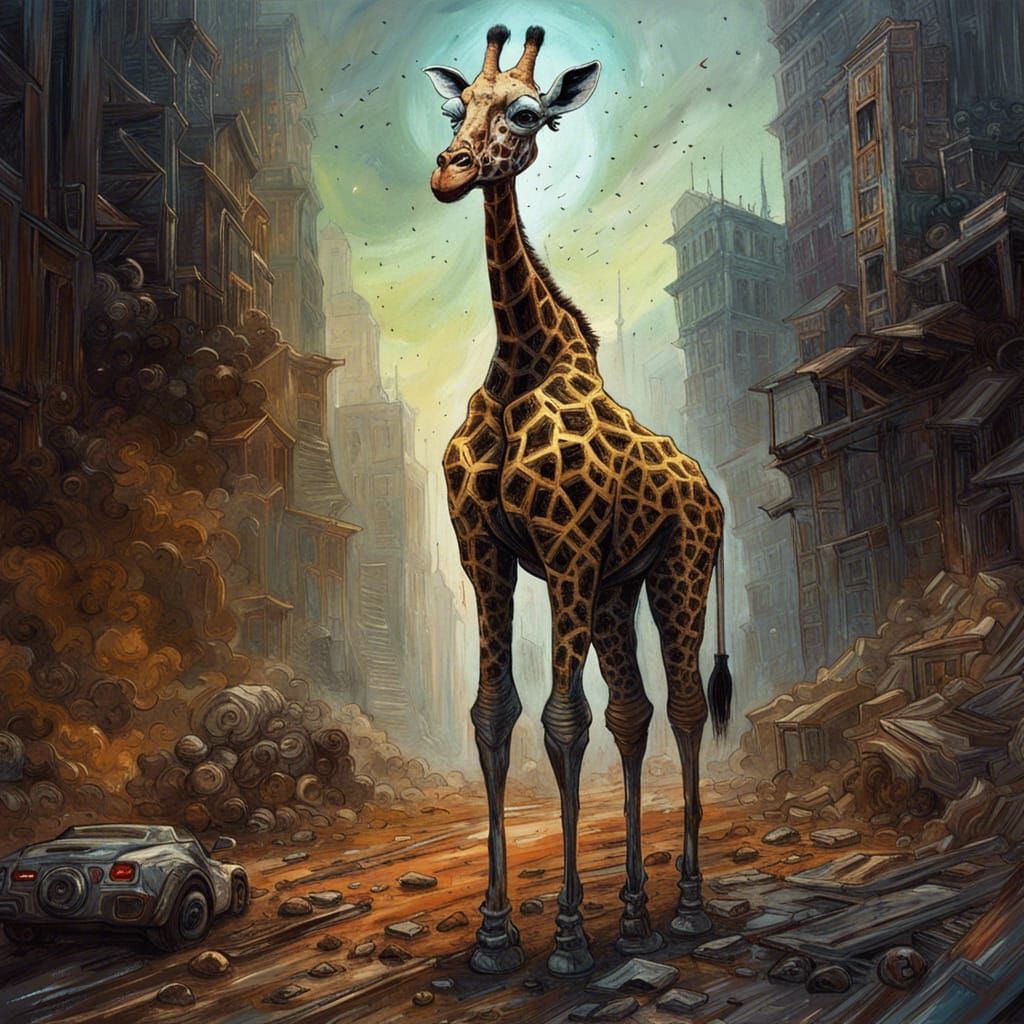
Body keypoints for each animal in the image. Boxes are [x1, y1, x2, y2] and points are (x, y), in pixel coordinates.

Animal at [425, 25, 733, 977]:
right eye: (456, 107)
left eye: (526, 112)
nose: (450, 171)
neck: (521, 363)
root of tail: (712, 491)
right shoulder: (484, 554)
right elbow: (493, 715)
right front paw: (493, 933)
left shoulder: (562, 549)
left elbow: (563, 722)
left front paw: (565, 936)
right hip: (615, 588)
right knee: (635, 713)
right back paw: (633, 914)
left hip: (677, 571)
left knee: (683, 705)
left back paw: (687, 908)